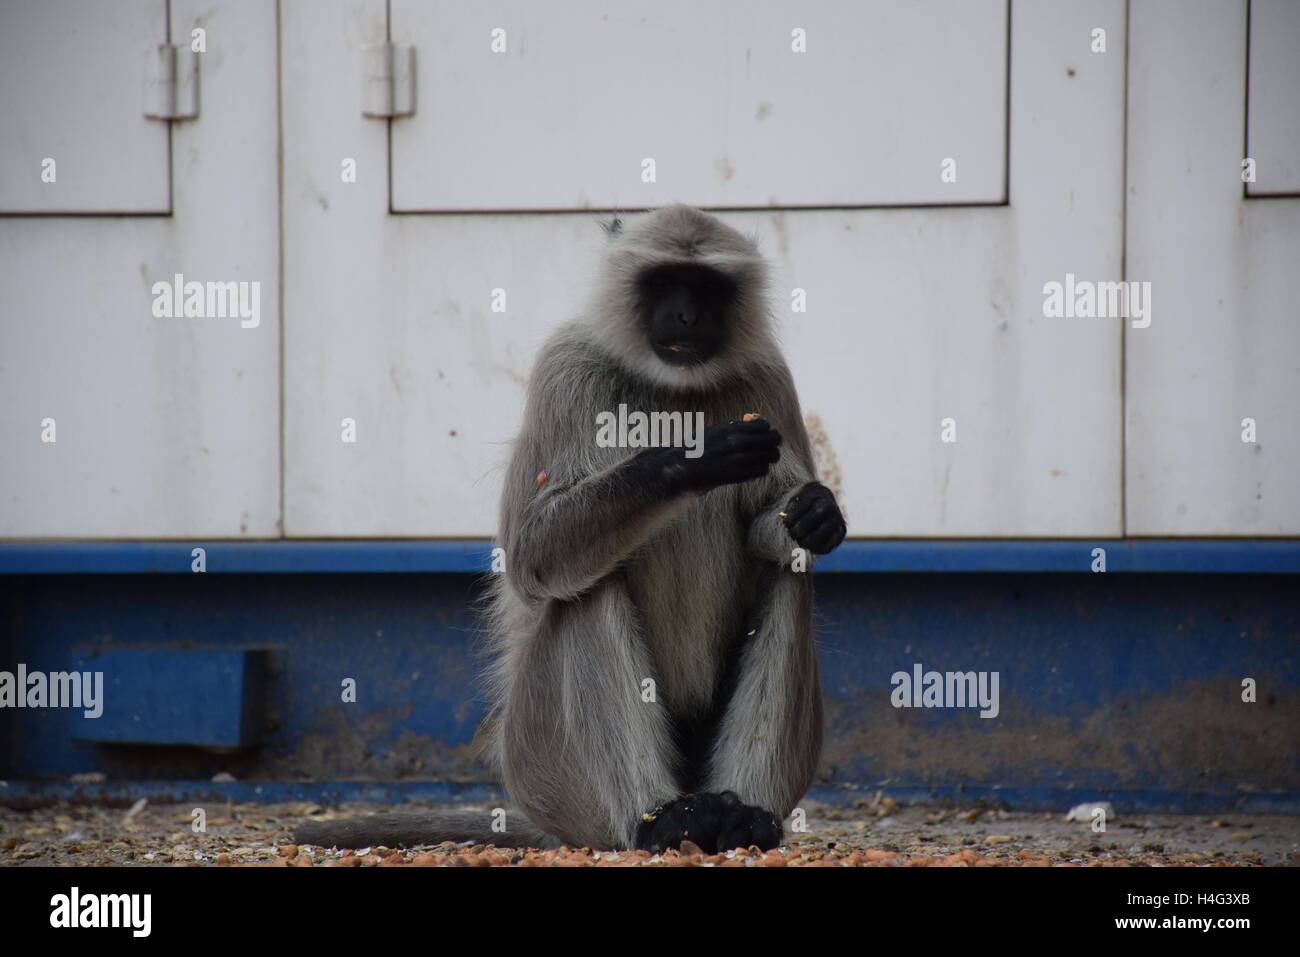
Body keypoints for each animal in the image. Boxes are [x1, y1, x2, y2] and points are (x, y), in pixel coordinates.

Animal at [295, 205, 846, 854]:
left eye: (707, 288)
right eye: (664, 282)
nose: (687, 315)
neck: (670, 388)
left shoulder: (769, 378)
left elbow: (775, 527)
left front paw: (816, 513)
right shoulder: (566, 367)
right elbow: (532, 554)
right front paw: (691, 456)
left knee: (788, 570)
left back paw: (744, 814)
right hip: (544, 768)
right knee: (585, 583)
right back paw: (661, 819)